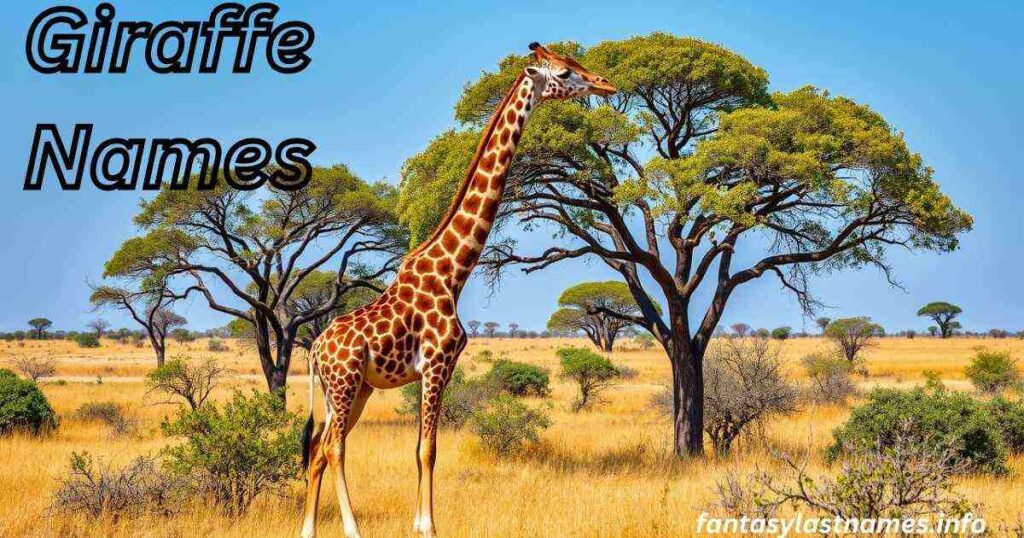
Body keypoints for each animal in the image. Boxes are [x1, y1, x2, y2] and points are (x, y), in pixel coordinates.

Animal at [299, 42, 616, 538]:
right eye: (564, 73)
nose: (606, 84)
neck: (452, 273)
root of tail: (314, 348)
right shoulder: (436, 363)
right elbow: (427, 449)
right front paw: (426, 525)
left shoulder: (438, 369)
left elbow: (422, 449)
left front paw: (420, 521)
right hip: (346, 381)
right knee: (333, 448)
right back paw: (352, 529)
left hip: (351, 390)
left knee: (317, 448)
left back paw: (308, 530)